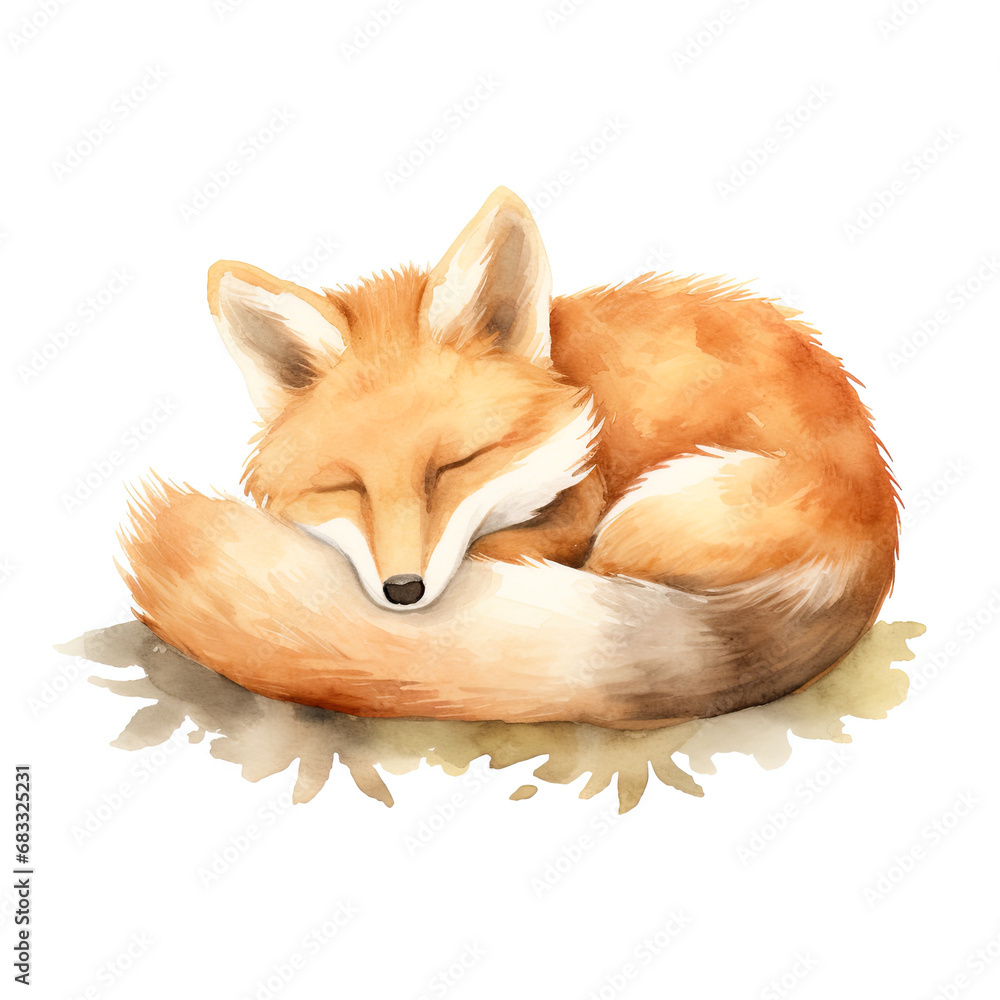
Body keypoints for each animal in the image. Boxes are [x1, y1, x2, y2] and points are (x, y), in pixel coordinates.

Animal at [119, 187, 899, 729]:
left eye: (455, 466)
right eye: (347, 487)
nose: (403, 592)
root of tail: (871, 559)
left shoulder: (585, 509)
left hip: (652, 509)